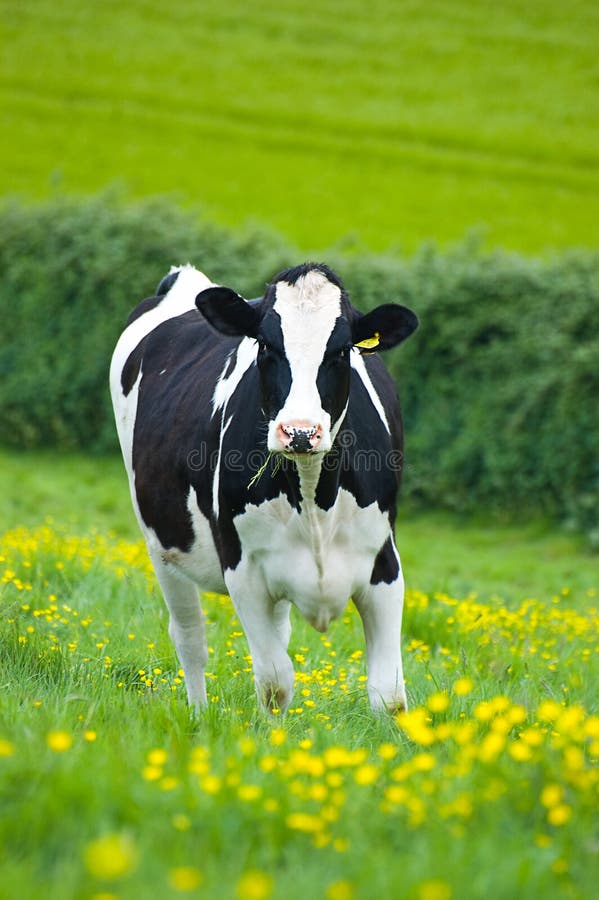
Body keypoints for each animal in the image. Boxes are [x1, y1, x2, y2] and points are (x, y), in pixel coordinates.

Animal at [109, 262, 418, 713]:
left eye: (342, 350)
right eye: (267, 345)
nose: (300, 432)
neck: (313, 498)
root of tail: (184, 281)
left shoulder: (385, 567)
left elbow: (388, 695)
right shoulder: (245, 574)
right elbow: (275, 685)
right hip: (162, 544)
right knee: (190, 640)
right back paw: (198, 715)